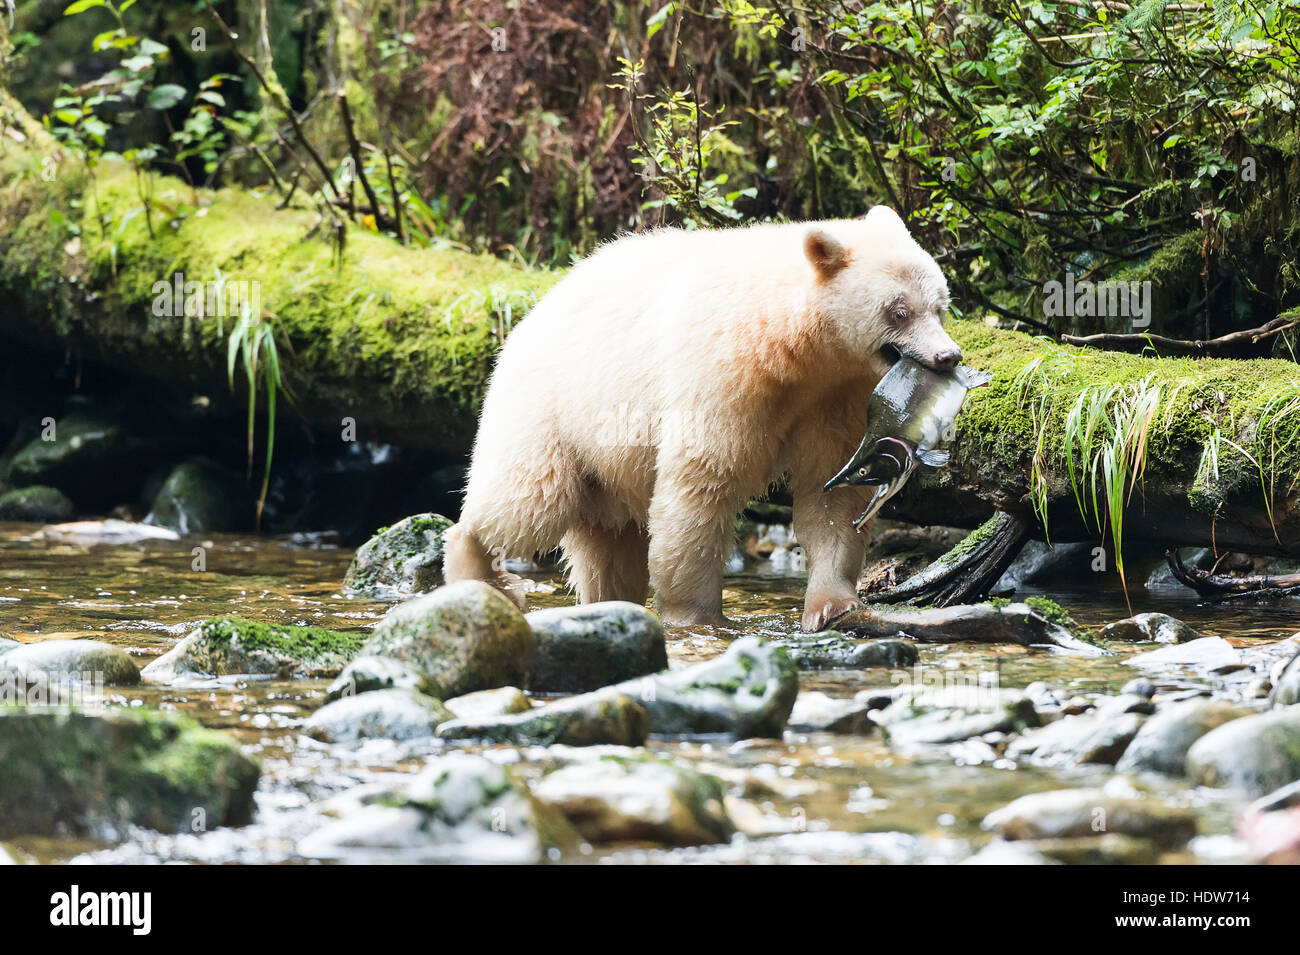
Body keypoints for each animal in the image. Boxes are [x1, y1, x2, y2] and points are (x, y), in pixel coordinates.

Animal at [444, 206, 962, 632]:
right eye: (899, 310)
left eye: (940, 304)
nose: (949, 356)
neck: (787, 344)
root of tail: (528, 317)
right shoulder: (724, 373)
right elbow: (703, 482)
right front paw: (695, 615)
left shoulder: (836, 396)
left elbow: (832, 493)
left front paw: (833, 605)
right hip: (552, 410)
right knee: (527, 502)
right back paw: (479, 569)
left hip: (604, 469)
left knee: (609, 545)